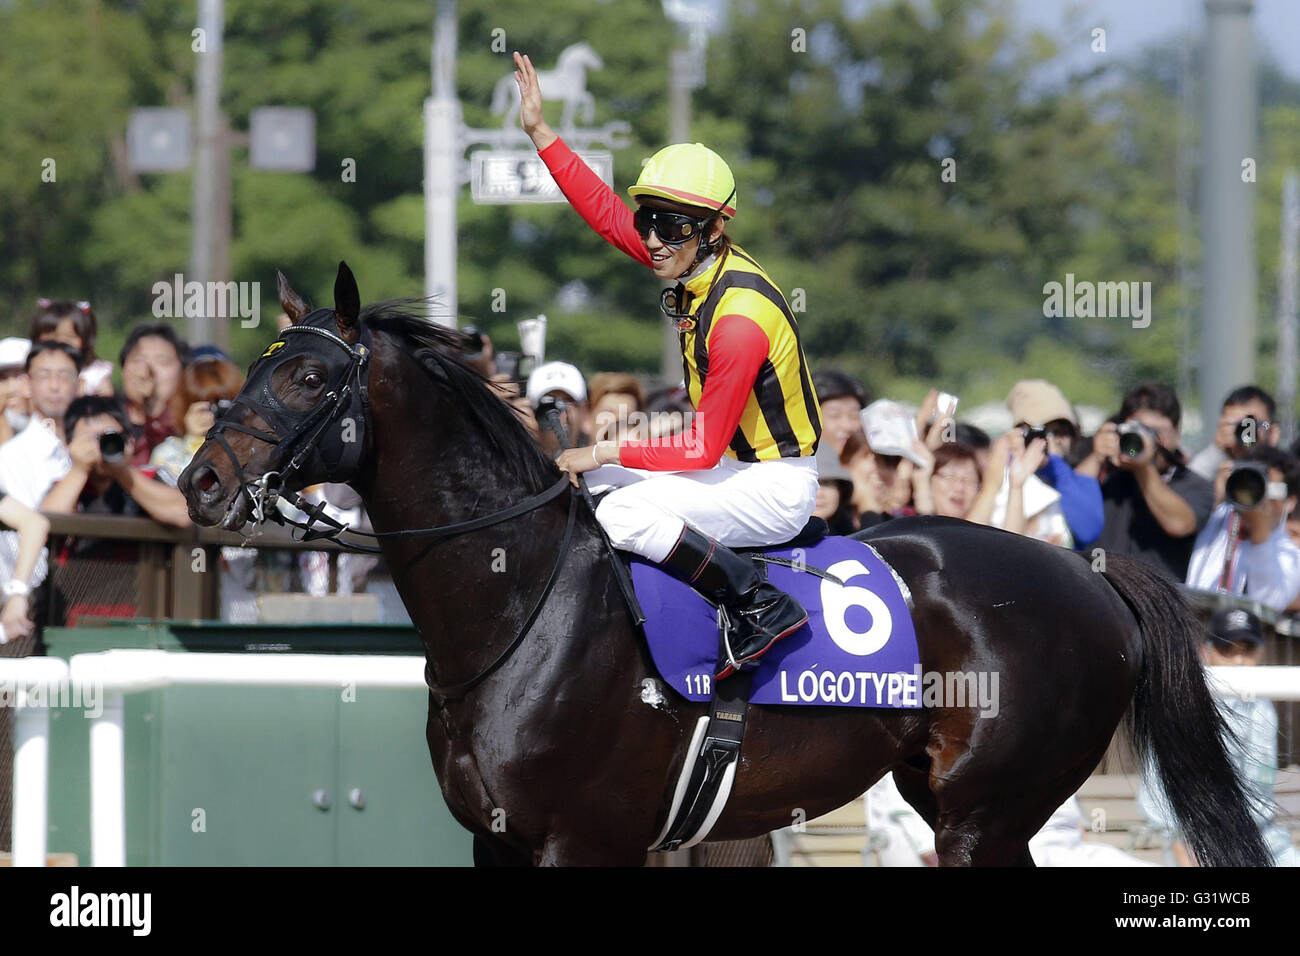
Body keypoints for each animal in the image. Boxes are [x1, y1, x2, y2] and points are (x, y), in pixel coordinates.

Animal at [178, 262, 1271, 867]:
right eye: (257, 364)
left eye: (307, 375)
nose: (198, 479)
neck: (518, 608)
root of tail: (1089, 576)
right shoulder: (497, 840)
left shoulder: (586, 841)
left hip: (983, 815)